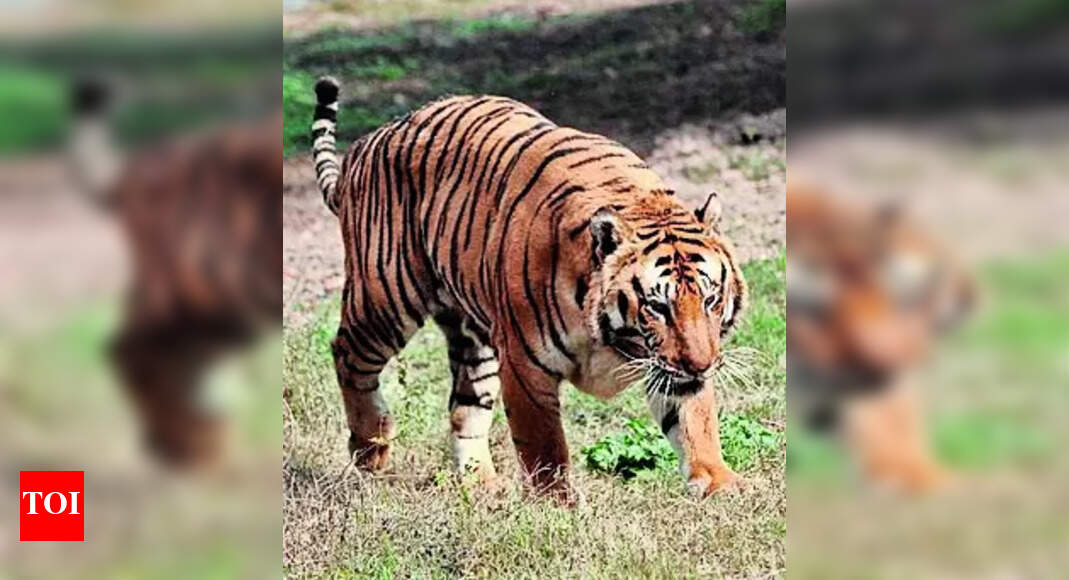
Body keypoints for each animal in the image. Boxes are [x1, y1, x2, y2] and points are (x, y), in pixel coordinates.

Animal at [310, 77, 749, 498]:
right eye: (657, 307)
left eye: (711, 300)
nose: (701, 365)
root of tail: (371, 140)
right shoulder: (526, 365)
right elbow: (544, 444)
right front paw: (558, 503)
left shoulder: (671, 366)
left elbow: (695, 420)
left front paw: (718, 481)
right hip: (386, 295)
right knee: (348, 355)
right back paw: (371, 448)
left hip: (475, 338)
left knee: (464, 406)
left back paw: (482, 483)